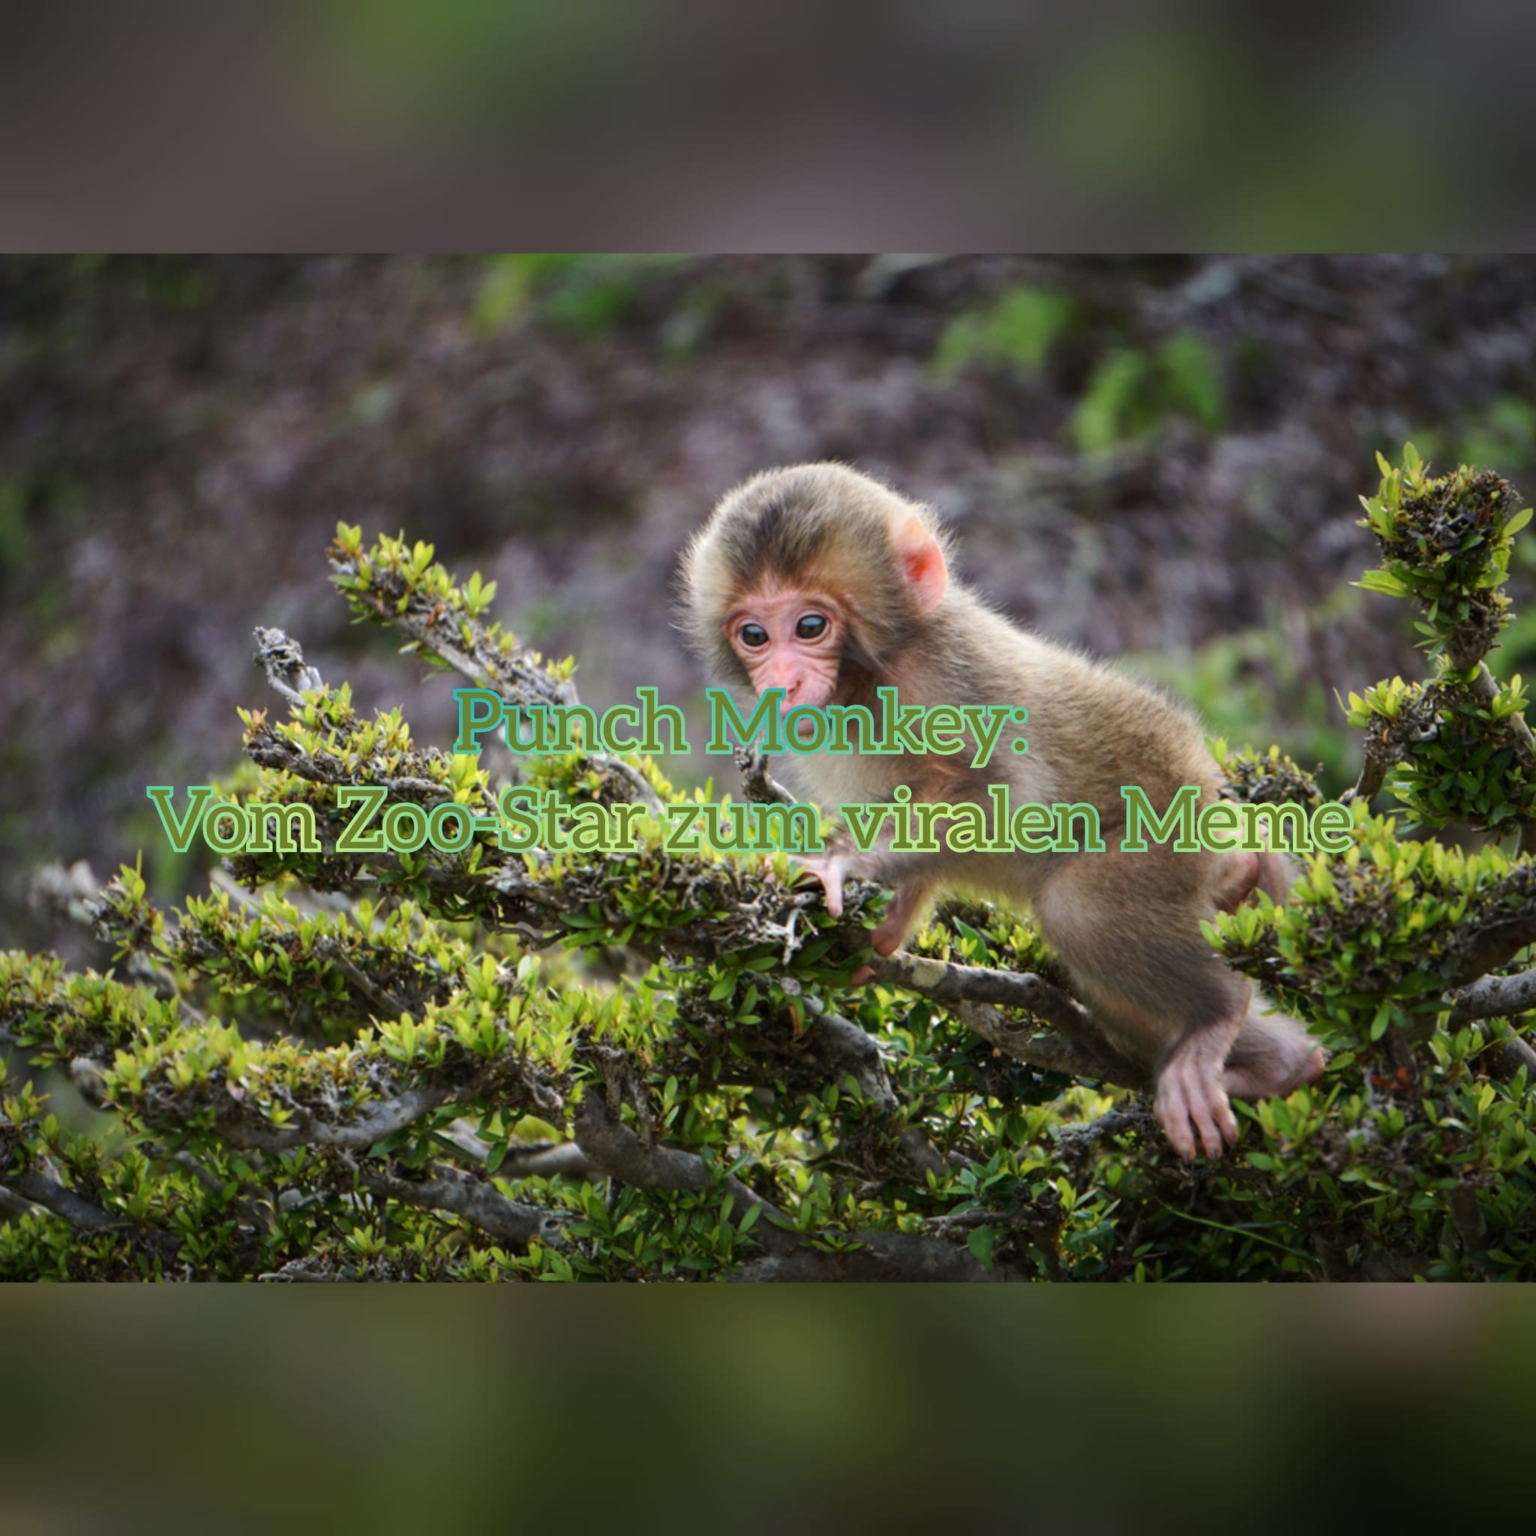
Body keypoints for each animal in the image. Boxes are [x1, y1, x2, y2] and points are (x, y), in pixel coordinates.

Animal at [680, 462, 1326, 1161]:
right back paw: (1284, 1065)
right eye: (753, 634)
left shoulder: (940, 683)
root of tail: (1227, 810)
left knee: (1080, 909)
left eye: (809, 627)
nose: (784, 683)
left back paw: (1216, 1018)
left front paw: (846, 863)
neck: (868, 677)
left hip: (1181, 838)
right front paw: (889, 926)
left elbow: (1001, 800)